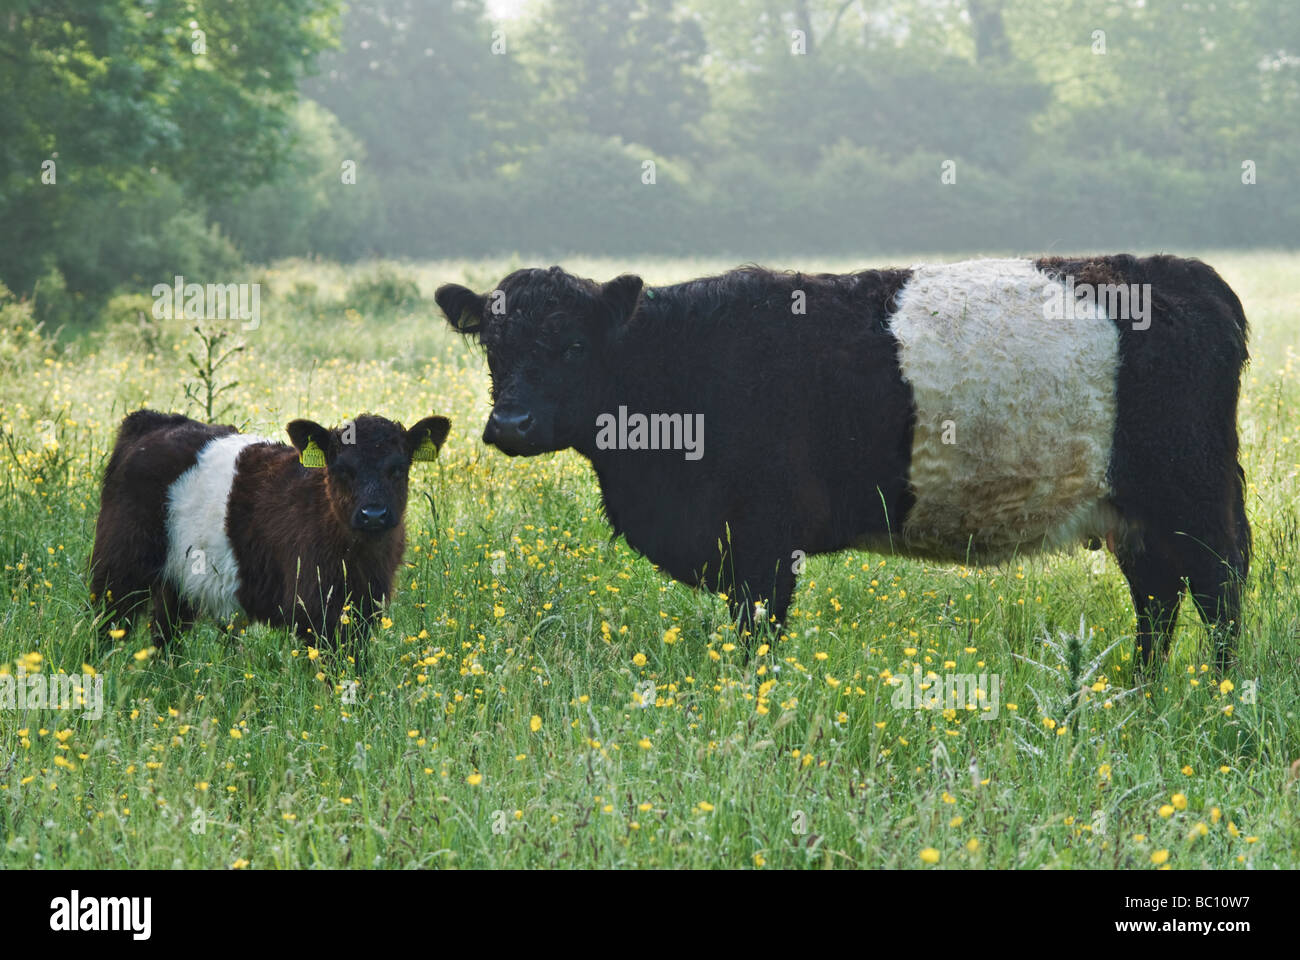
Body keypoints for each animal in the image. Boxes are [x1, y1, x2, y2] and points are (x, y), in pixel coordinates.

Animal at [89, 409, 450, 651]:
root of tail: (154, 419)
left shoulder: (364, 607)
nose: (373, 514)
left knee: (165, 637)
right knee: (106, 625)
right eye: (342, 469)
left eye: (398, 468)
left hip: (178, 581)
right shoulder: (315, 611)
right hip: (118, 567)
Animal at [435, 255, 1251, 670]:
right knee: (1157, 599)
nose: (510, 424)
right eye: (492, 348)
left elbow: (757, 636)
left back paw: (1218, 690)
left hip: (1195, 496)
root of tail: (1186, 272)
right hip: (1135, 514)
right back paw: (1140, 692)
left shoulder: (763, 540)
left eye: (573, 345)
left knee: (1220, 591)